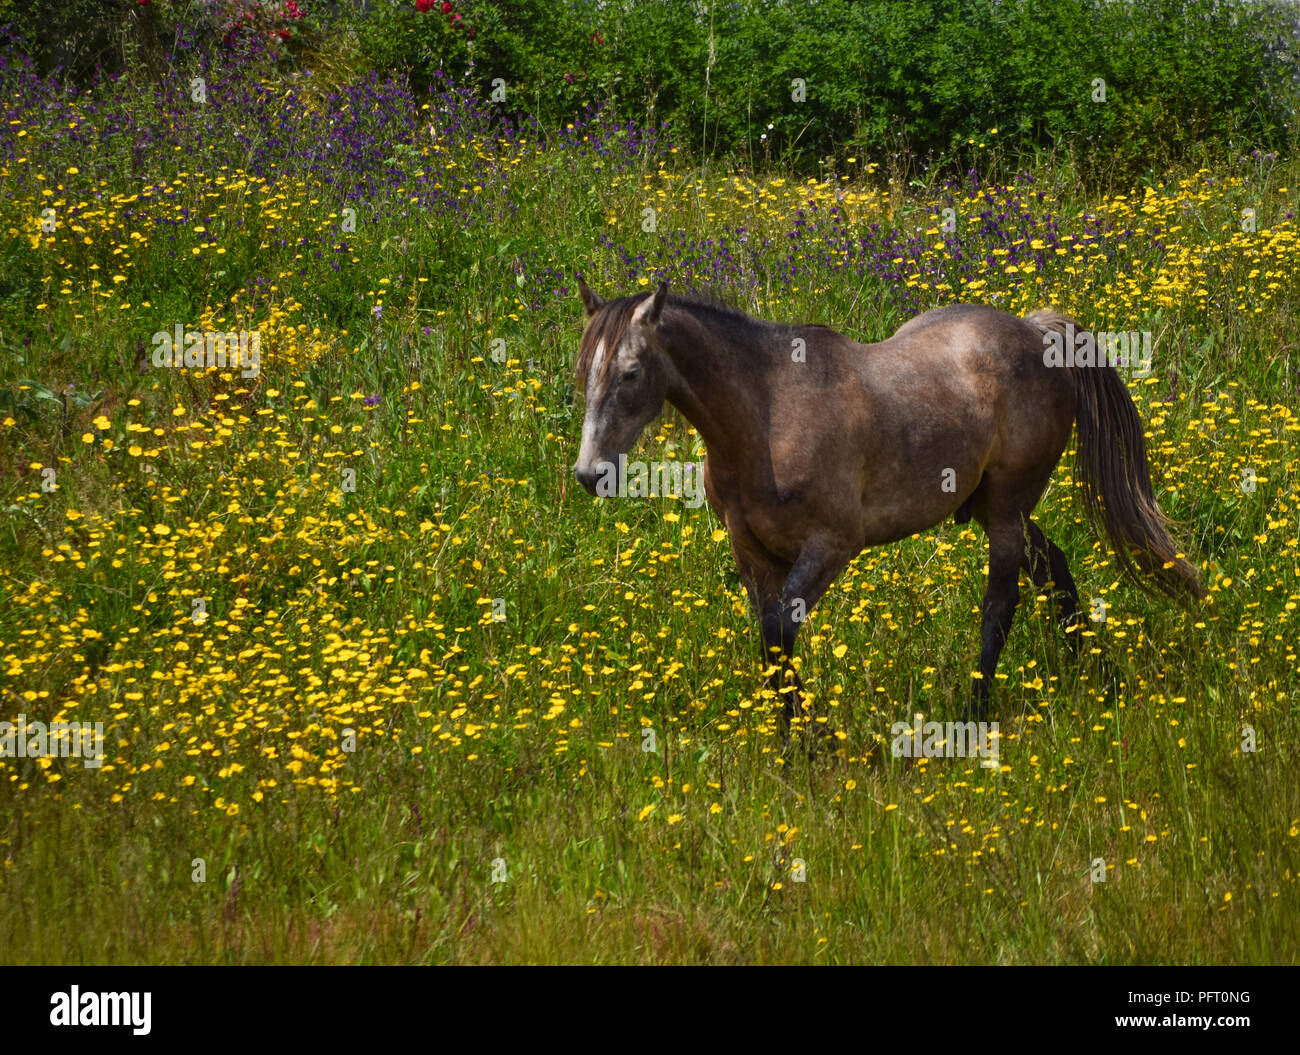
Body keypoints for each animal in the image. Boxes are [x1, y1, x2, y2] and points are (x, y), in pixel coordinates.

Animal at [571, 278, 1204, 732]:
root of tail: (1035, 331)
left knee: (1000, 606)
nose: (589, 473)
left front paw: (804, 740)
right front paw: (788, 741)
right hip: (993, 508)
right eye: (584, 373)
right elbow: (773, 645)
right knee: (1055, 567)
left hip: (1006, 509)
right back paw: (1093, 676)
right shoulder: (751, 552)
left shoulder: (831, 546)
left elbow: (780, 633)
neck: (767, 418)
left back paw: (976, 712)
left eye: (631, 372)